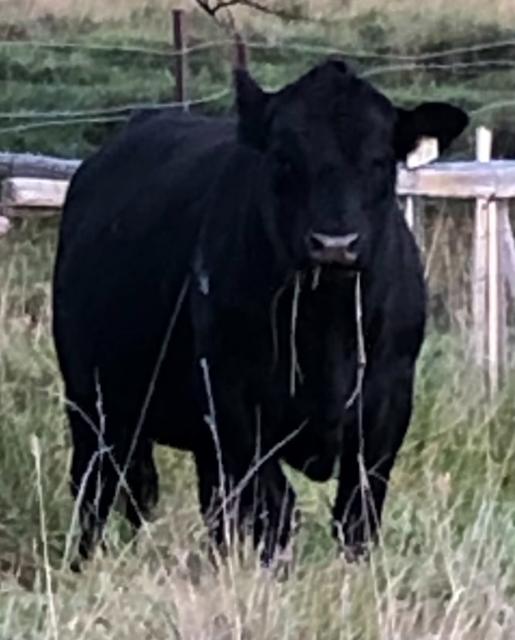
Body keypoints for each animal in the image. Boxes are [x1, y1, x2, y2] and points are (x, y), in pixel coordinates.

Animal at [52, 58, 468, 570]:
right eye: (285, 159)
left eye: (379, 160)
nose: (335, 243)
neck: (325, 327)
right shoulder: (235, 399)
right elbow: (275, 508)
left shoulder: (388, 402)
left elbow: (356, 515)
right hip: (92, 401)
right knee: (100, 486)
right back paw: (82, 562)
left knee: (200, 502)